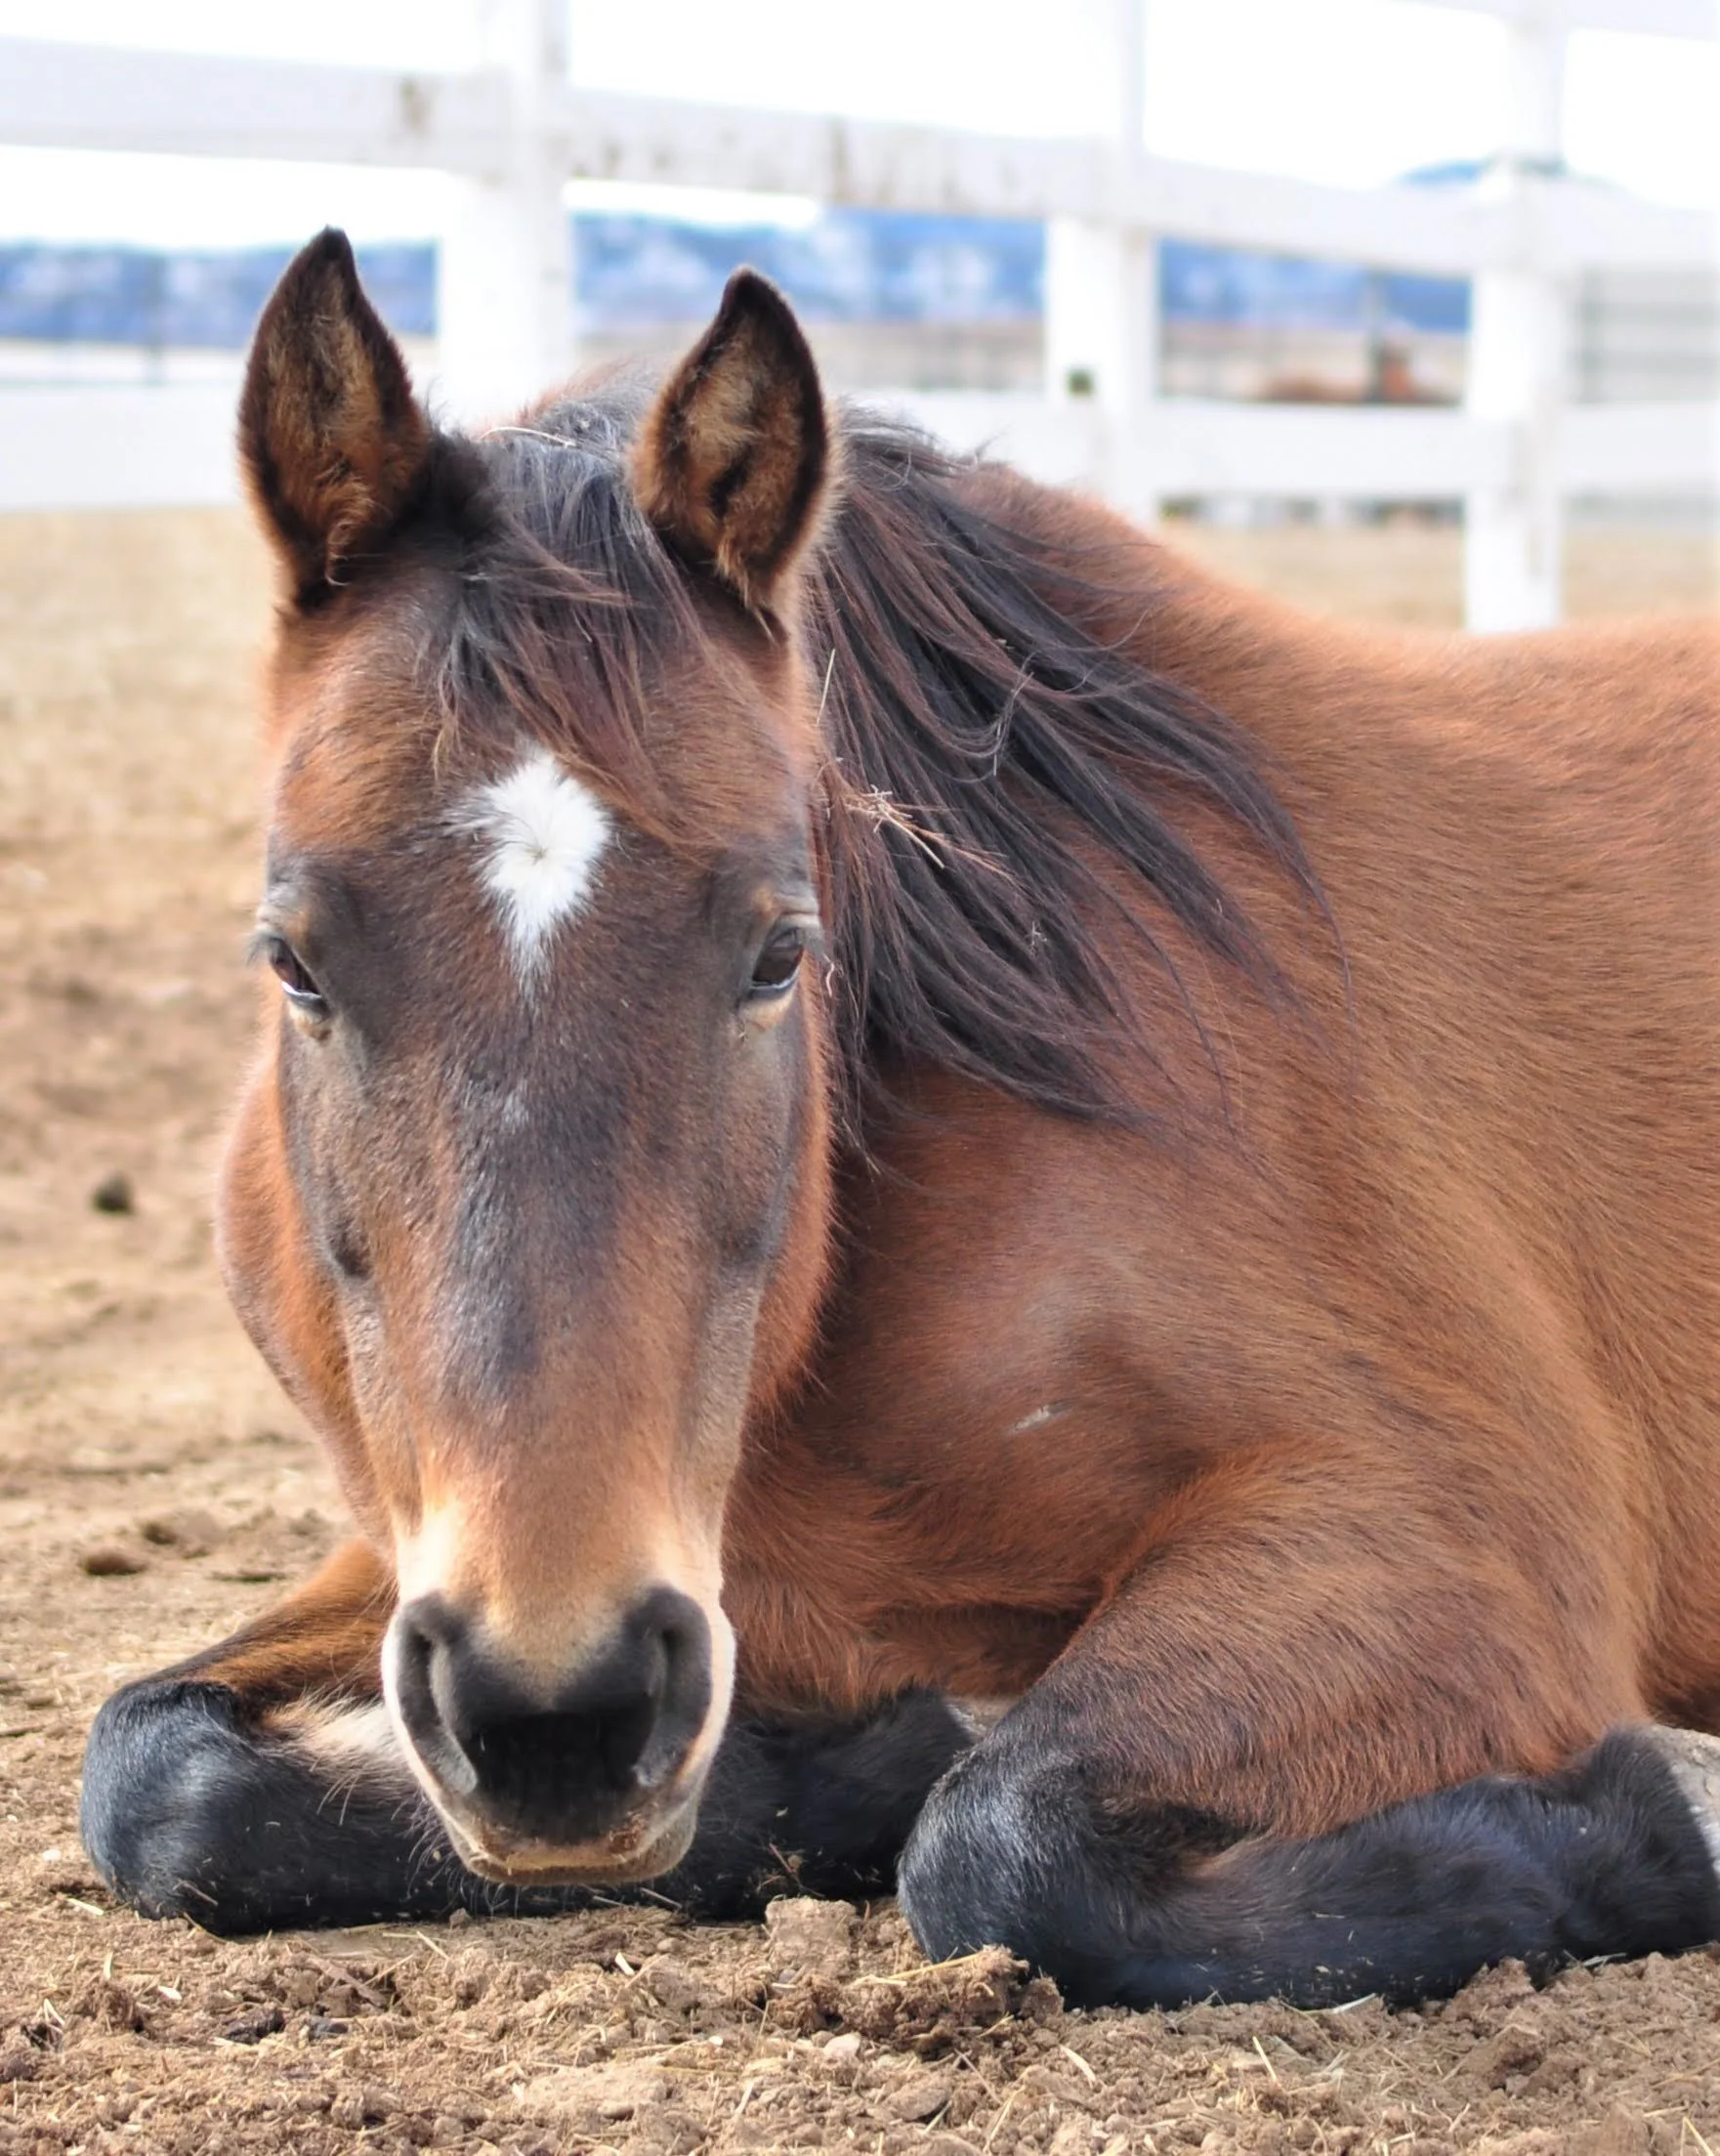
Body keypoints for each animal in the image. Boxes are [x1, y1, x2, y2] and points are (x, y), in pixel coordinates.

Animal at [81, 228, 1720, 2009]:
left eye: (776, 949)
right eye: (293, 956)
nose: (557, 1713)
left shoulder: (1451, 1531)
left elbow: (1007, 1839)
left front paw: (1640, 1823)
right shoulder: (412, 1556)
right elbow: (153, 1770)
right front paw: (843, 1761)